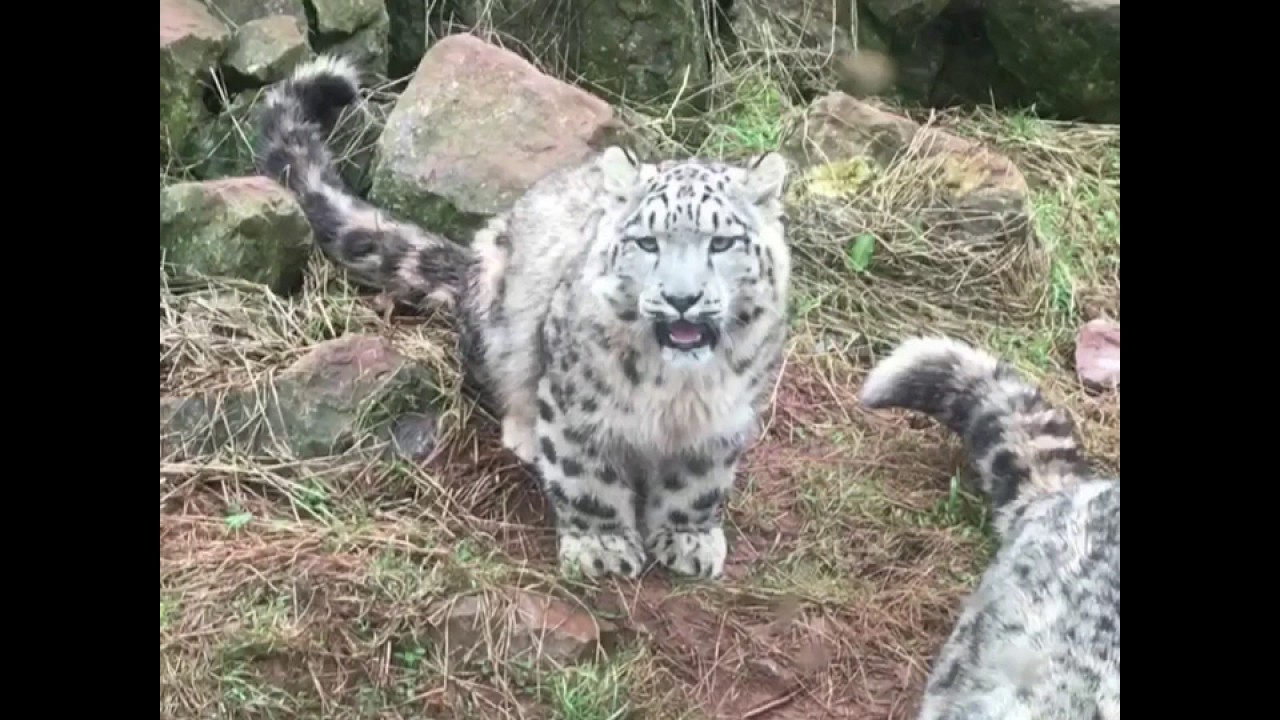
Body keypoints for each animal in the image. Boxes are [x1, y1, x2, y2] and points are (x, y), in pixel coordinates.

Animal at [253, 54, 792, 582]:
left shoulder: (723, 414)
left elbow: (698, 485)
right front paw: (601, 548)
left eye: (722, 242)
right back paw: (524, 434)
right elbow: (587, 476)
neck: (677, 391)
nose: (683, 298)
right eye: (646, 242)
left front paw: (689, 538)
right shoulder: (580, 403)